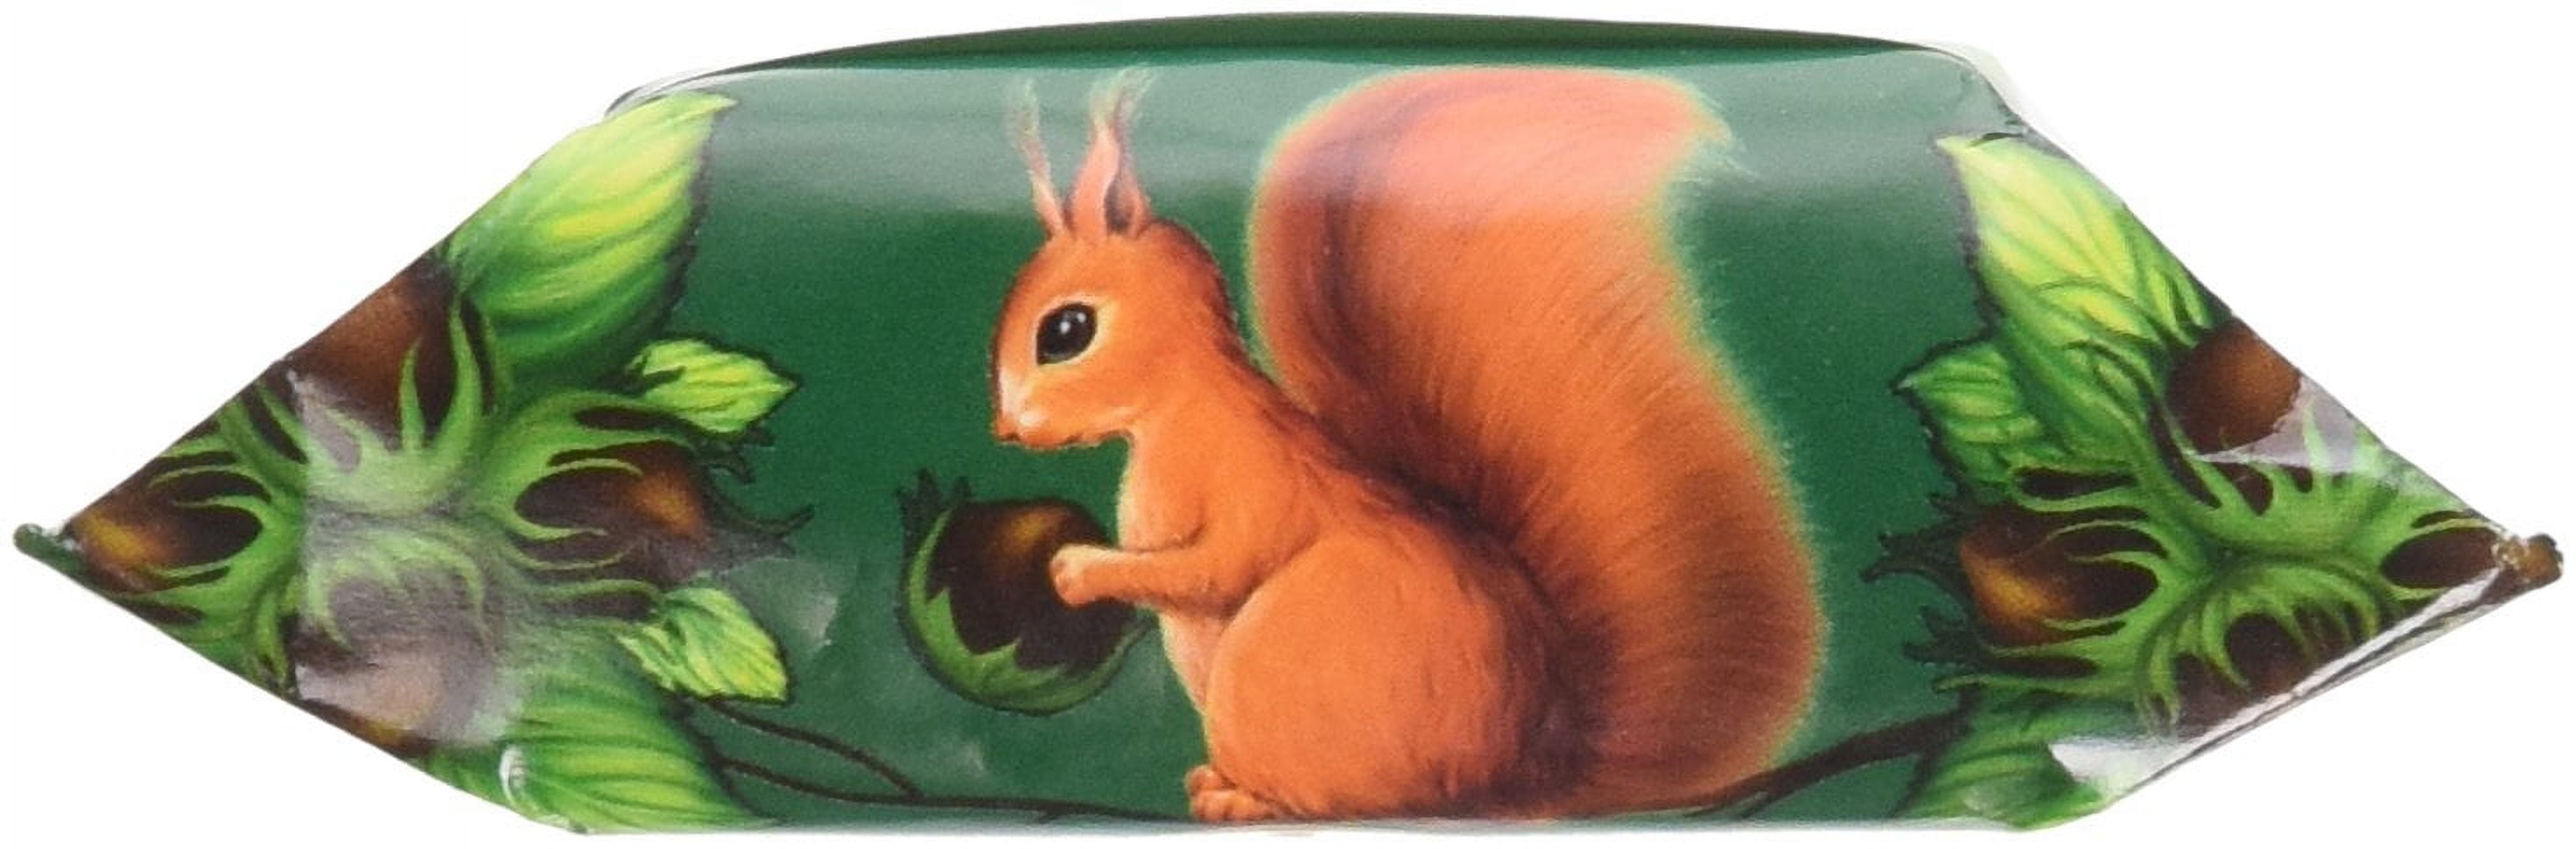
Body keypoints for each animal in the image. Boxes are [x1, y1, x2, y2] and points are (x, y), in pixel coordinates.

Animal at [988, 68, 1820, 822]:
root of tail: (1521, 784)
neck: (1177, 409)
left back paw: (1243, 801)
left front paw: (1080, 569)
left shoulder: (1251, 479)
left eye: (1066, 331)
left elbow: (1214, 567)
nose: (1005, 429)